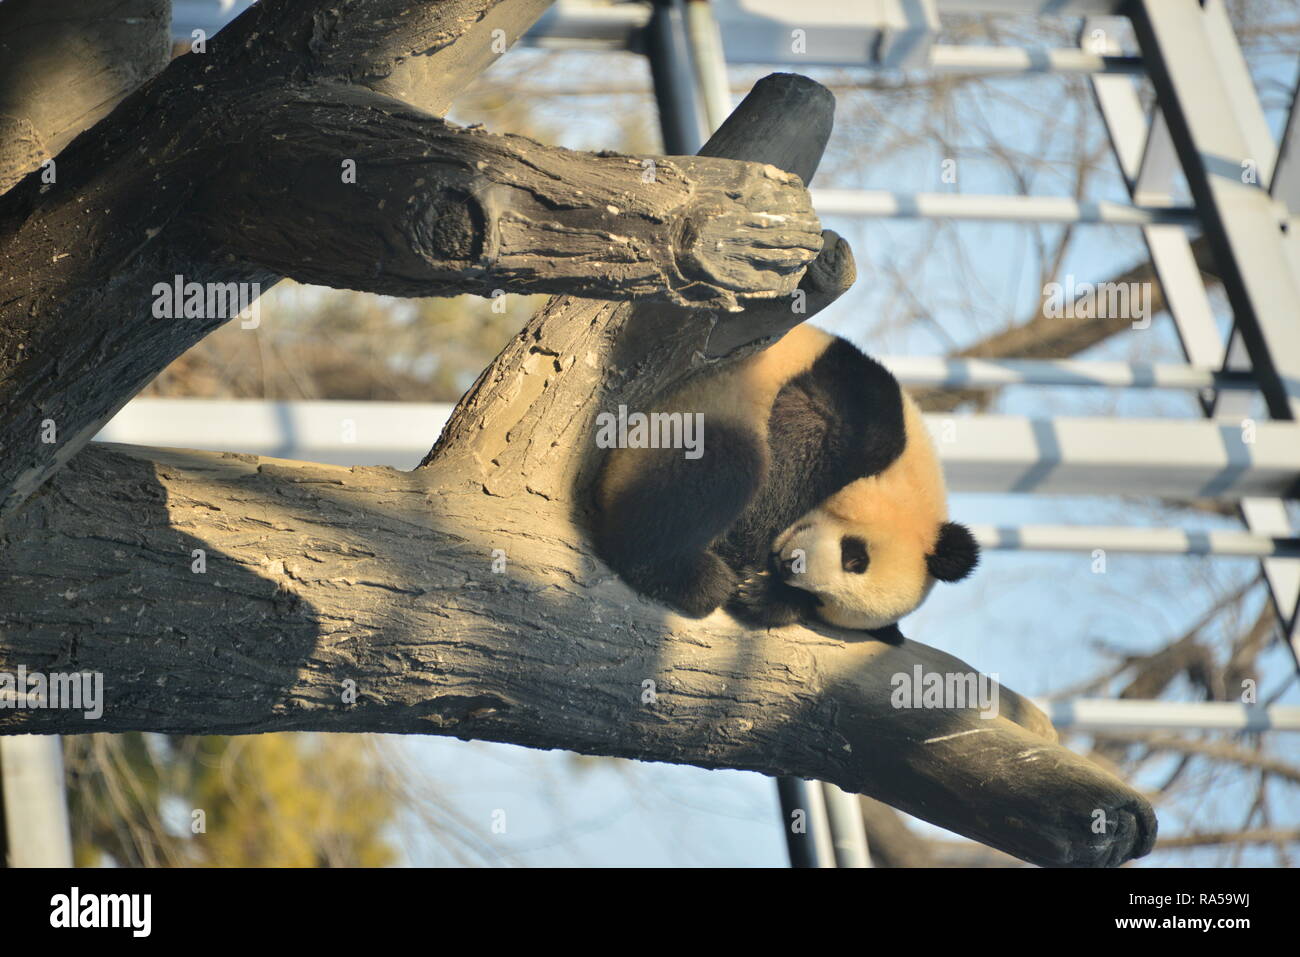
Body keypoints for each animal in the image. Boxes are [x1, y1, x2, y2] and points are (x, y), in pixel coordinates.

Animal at [594, 324, 979, 643]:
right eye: (855, 556)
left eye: (818, 600)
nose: (791, 566)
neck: (909, 471)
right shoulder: (859, 399)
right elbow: (803, 437)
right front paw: (744, 552)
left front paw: (763, 595)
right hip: (670, 429)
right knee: (721, 465)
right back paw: (695, 578)